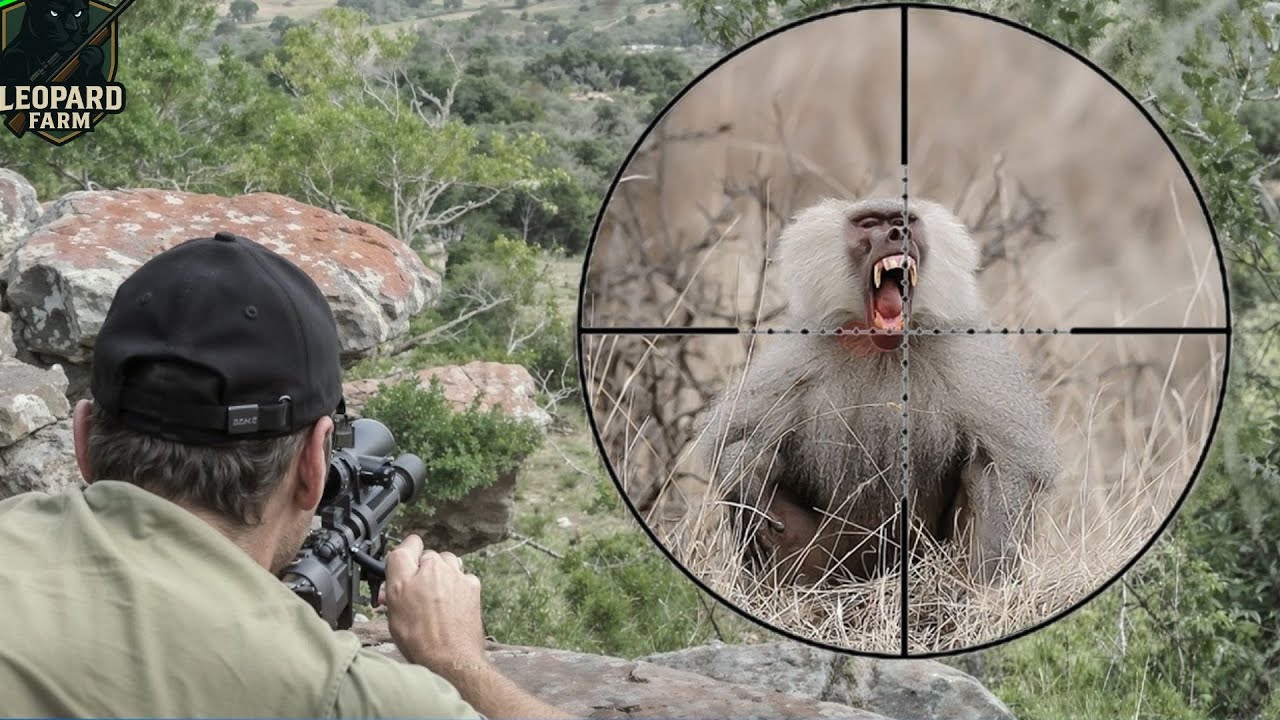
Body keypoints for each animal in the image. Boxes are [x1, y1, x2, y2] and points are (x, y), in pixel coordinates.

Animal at [696, 197, 1058, 585]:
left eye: (905, 221)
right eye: (870, 224)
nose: (897, 233)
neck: (885, 353)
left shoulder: (970, 364)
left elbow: (1005, 464)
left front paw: (988, 585)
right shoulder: (798, 365)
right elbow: (736, 442)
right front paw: (745, 481)